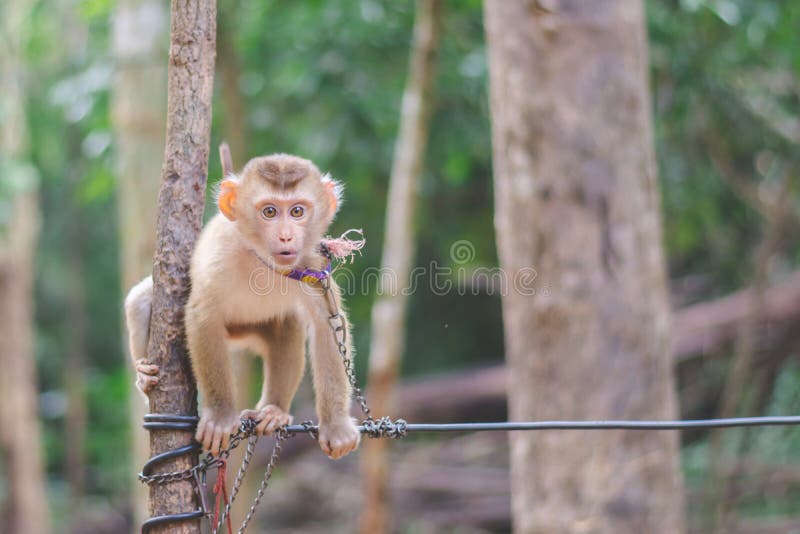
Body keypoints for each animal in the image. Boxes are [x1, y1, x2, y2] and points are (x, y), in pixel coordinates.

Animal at [124, 153, 361, 459]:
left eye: (297, 211)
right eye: (269, 212)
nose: (286, 237)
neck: (260, 257)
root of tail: (237, 333)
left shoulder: (312, 263)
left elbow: (327, 325)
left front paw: (336, 427)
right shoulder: (220, 257)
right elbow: (203, 315)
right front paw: (220, 417)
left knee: (287, 326)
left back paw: (273, 411)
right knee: (140, 299)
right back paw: (144, 376)